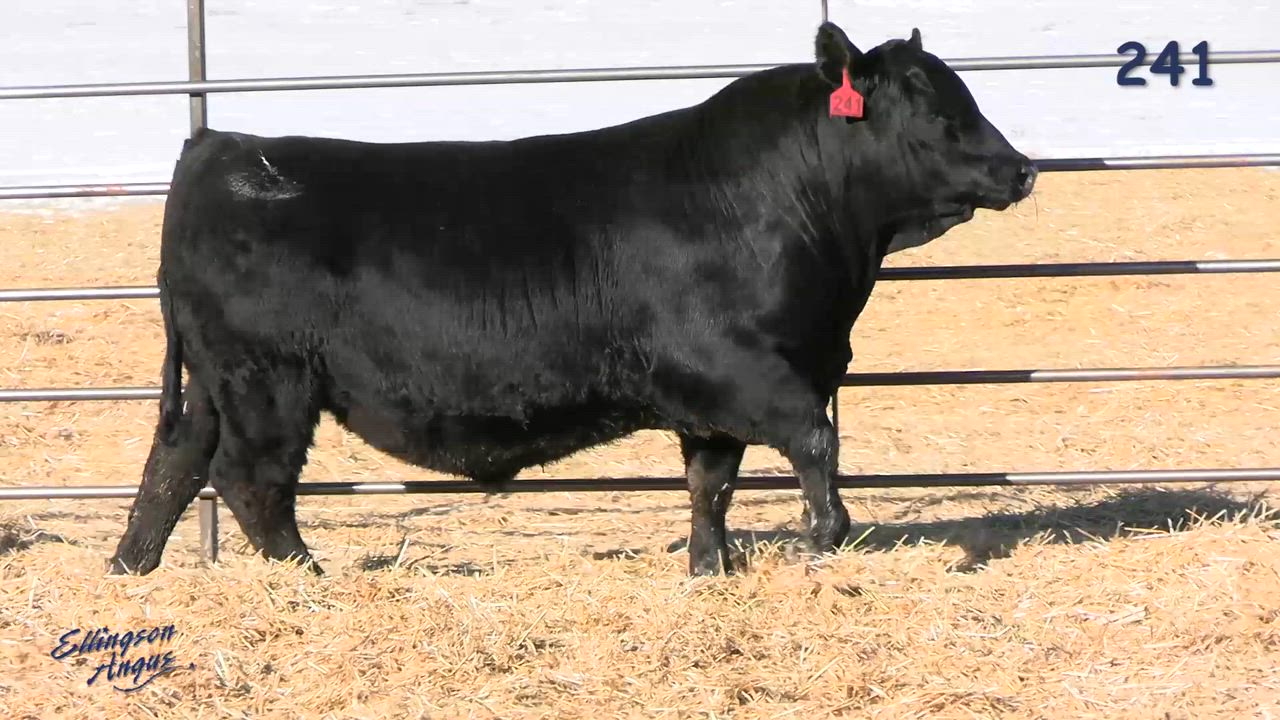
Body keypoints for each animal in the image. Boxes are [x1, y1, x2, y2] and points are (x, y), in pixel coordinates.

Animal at [108, 22, 1035, 578]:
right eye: (929, 111)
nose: (1021, 167)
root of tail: (222, 144)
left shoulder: (715, 402)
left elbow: (711, 484)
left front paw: (712, 569)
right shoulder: (740, 369)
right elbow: (814, 440)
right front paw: (824, 537)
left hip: (215, 381)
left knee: (174, 462)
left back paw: (131, 569)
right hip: (267, 380)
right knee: (250, 478)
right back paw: (306, 575)